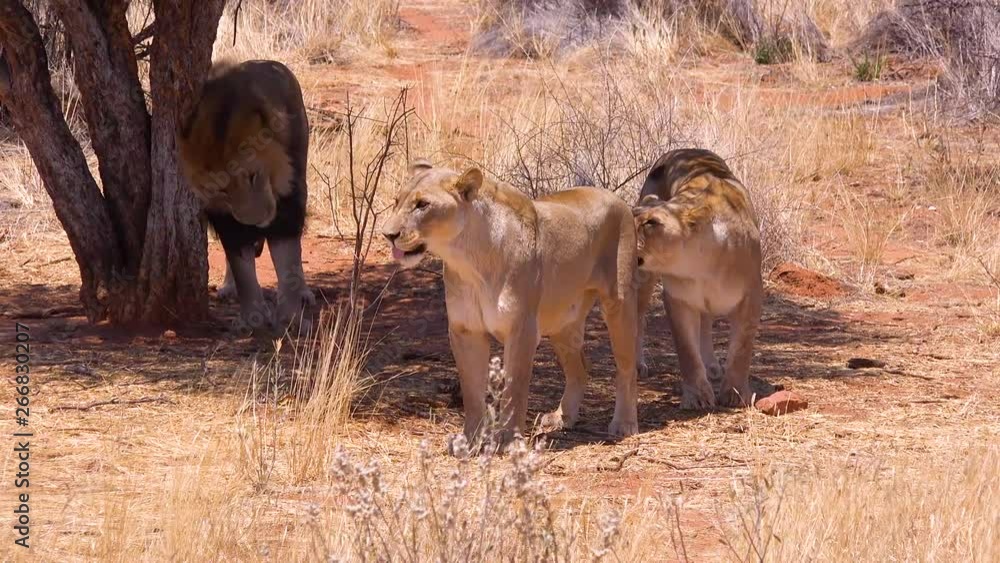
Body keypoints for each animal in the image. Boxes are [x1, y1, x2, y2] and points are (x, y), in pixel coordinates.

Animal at [178, 59, 314, 334]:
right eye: (221, 190)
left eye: (252, 176)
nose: (256, 222)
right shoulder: (224, 217)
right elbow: (242, 268)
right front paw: (252, 317)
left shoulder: (289, 200)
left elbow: (289, 262)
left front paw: (291, 319)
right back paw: (228, 288)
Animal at [381, 161, 640, 446]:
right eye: (396, 201)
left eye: (422, 204)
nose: (388, 234)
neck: (468, 262)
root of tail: (615, 197)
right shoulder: (465, 331)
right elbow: (471, 392)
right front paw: (469, 440)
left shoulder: (522, 329)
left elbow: (514, 389)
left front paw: (508, 441)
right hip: (562, 323)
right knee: (580, 369)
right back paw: (562, 417)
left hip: (619, 303)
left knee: (627, 368)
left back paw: (625, 423)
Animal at [632, 148, 763, 409]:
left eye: (651, 222)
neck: (699, 266)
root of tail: (679, 151)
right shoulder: (678, 300)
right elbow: (687, 352)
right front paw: (697, 397)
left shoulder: (752, 296)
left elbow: (741, 349)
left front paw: (734, 394)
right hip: (643, 279)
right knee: (639, 317)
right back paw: (638, 365)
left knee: (706, 320)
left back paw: (712, 365)